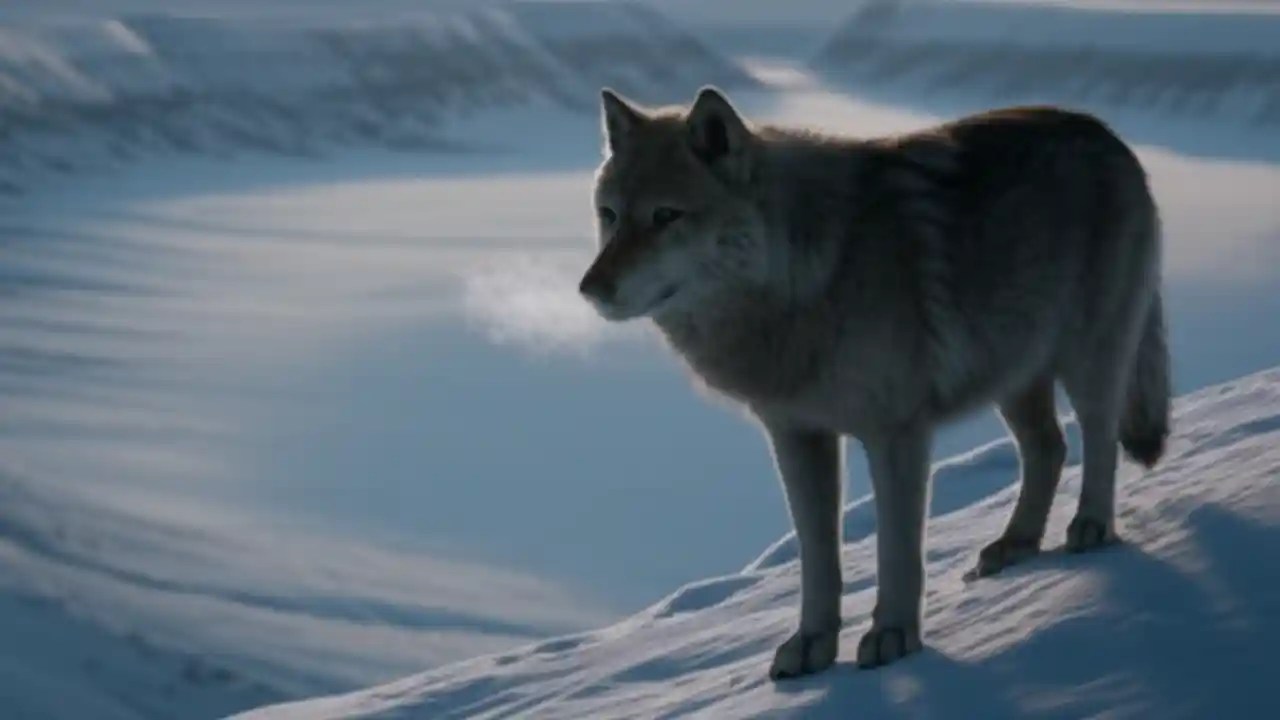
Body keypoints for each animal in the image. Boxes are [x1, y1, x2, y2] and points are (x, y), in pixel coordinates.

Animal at [579, 86, 1170, 679]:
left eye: (665, 216)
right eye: (610, 215)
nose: (589, 289)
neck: (809, 281)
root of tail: (1109, 137)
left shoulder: (896, 435)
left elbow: (896, 548)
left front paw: (893, 635)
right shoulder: (797, 437)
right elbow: (818, 557)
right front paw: (811, 645)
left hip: (1086, 360)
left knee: (1099, 440)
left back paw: (1091, 527)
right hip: (1013, 375)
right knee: (1049, 448)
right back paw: (1015, 543)